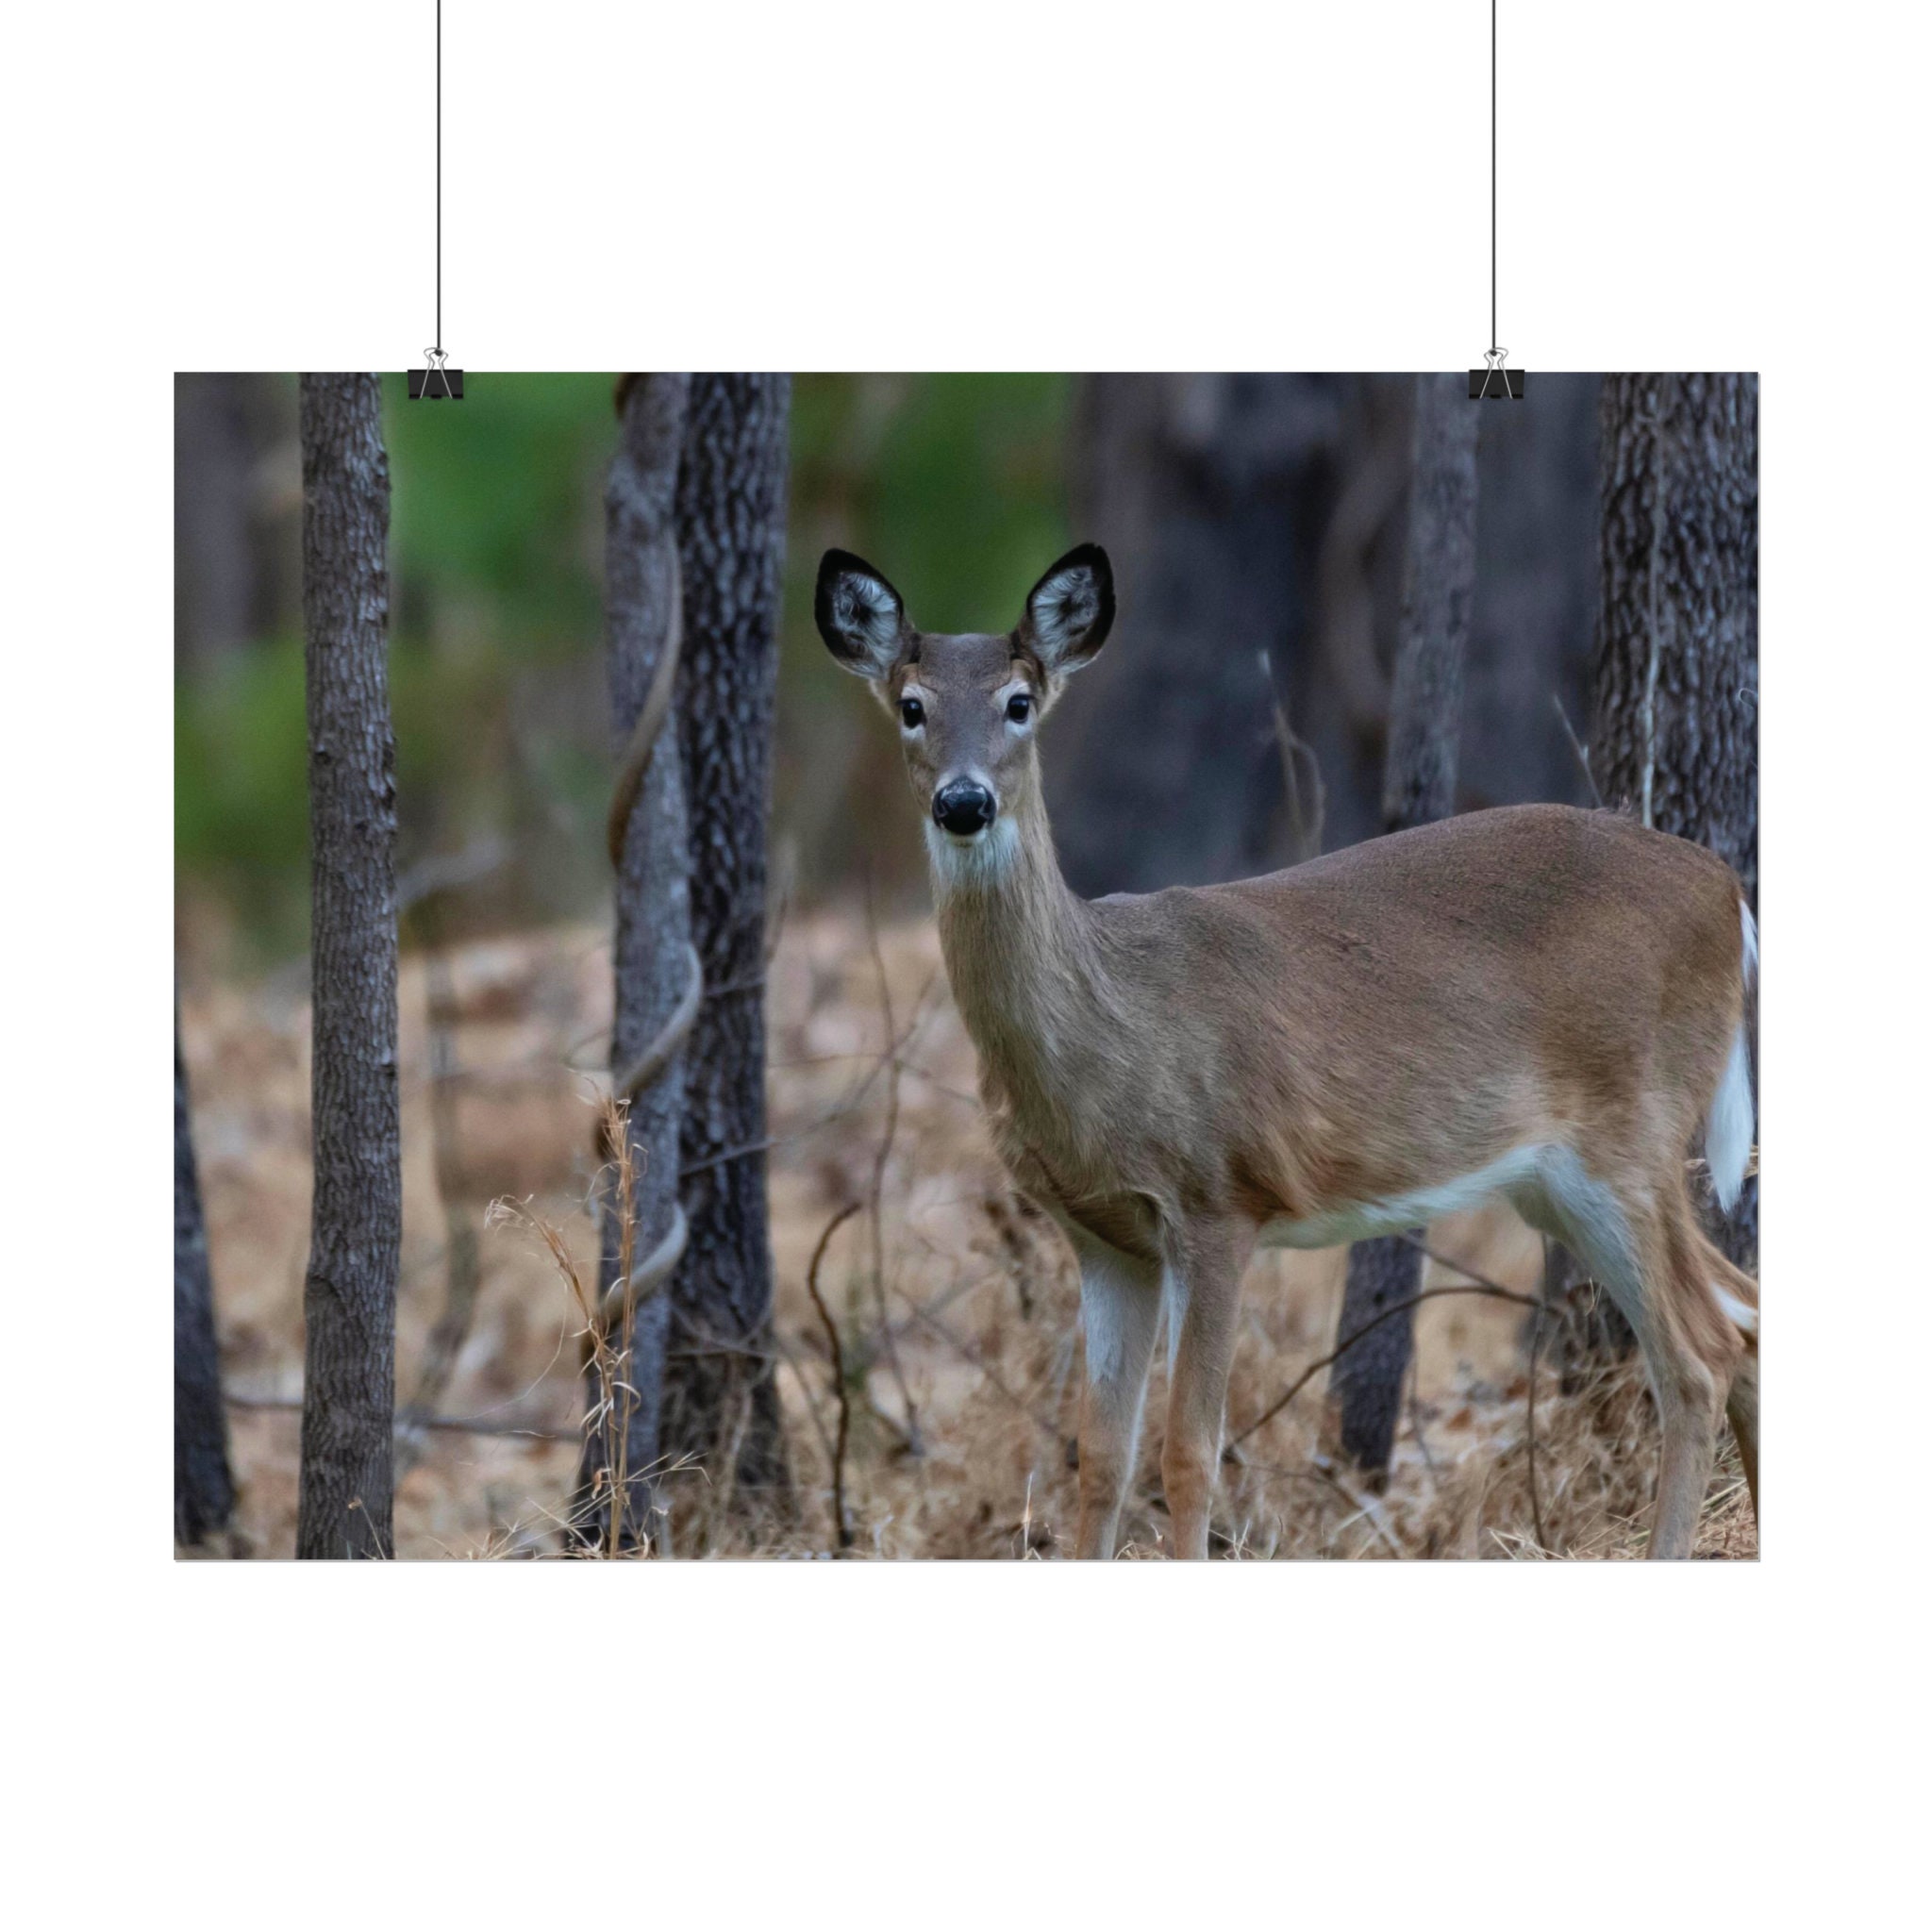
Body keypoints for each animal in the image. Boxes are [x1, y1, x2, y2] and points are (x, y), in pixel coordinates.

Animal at [815, 542, 1759, 1560]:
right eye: (911, 705)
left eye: (1019, 701)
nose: (964, 802)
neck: (1108, 1032)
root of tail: (1728, 892)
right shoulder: (1102, 1235)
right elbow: (1098, 1458)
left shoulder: (1218, 1196)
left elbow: (1187, 1451)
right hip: (1555, 1180)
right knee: (1744, 1312)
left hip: (1629, 1130)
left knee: (1700, 1355)